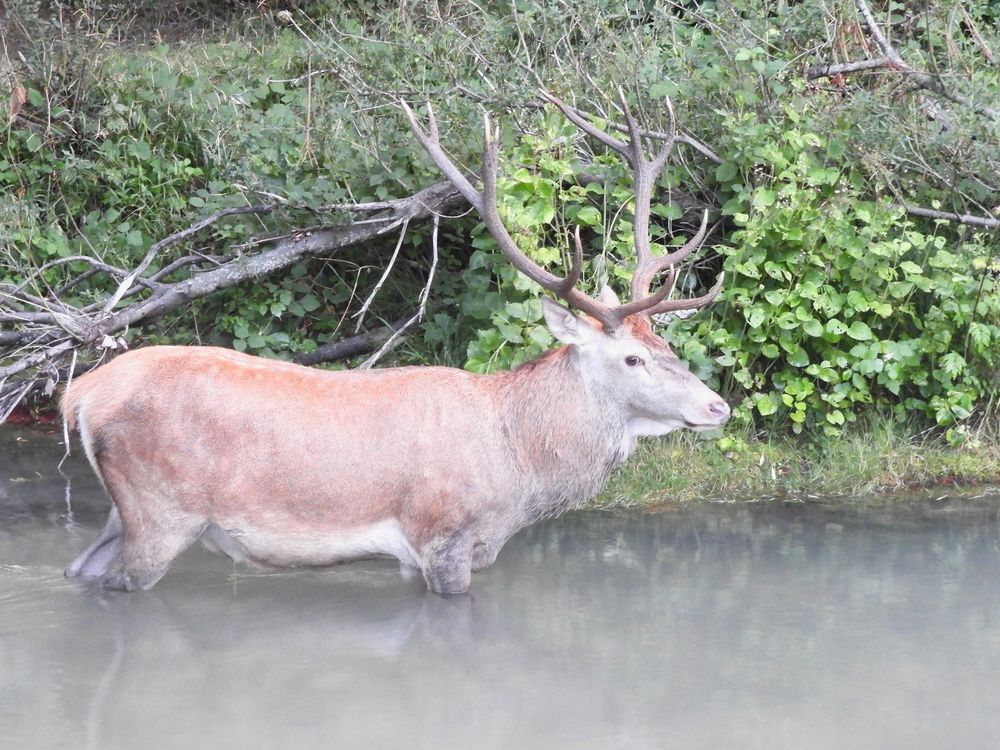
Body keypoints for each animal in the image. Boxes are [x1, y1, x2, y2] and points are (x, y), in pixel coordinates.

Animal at [61, 92, 729, 595]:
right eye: (633, 358)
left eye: (665, 344)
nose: (718, 406)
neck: (517, 467)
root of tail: (81, 393)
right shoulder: (442, 535)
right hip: (160, 509)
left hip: (121, 512)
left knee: (80, 571)